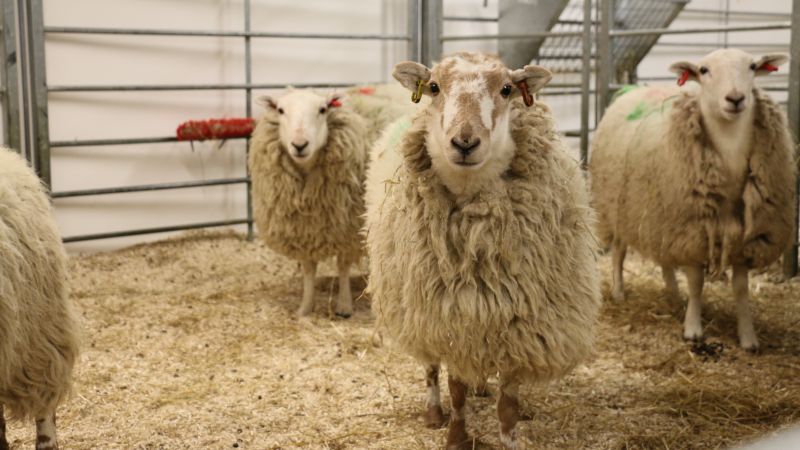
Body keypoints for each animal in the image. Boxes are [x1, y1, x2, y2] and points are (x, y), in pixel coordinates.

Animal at [249, 88, 369, 317]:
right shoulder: (303, 231)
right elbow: (308, 269)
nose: (299, 145)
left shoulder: (349, 229)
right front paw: (305, 307)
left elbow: (343, 266)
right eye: (280, 110)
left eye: (323, 109)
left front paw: (344, 306)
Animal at [364, 52, 600, 450]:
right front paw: (456, 436)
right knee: (430, 367)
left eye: (506, 89)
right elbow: (455, 387)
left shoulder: (518, 325)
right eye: (434, 87)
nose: (464, 142)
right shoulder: (451, 318)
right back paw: (434, 412)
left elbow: (508, 404)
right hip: (416, 306)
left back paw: (481, 388)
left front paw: (509, 438)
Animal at [590, 49, 796, 351]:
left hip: (660, 216)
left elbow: (741, 289)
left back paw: (673, 293)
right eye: (704, 70)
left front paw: (748, 337)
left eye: (752, 66)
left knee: (664, 257)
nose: (736, 98)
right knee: (618, 251)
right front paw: (693, 329)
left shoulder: (747, 238)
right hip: (619, 207)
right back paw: (618, 291)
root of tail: (634, 90)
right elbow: (697, 284)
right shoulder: (692, 231)